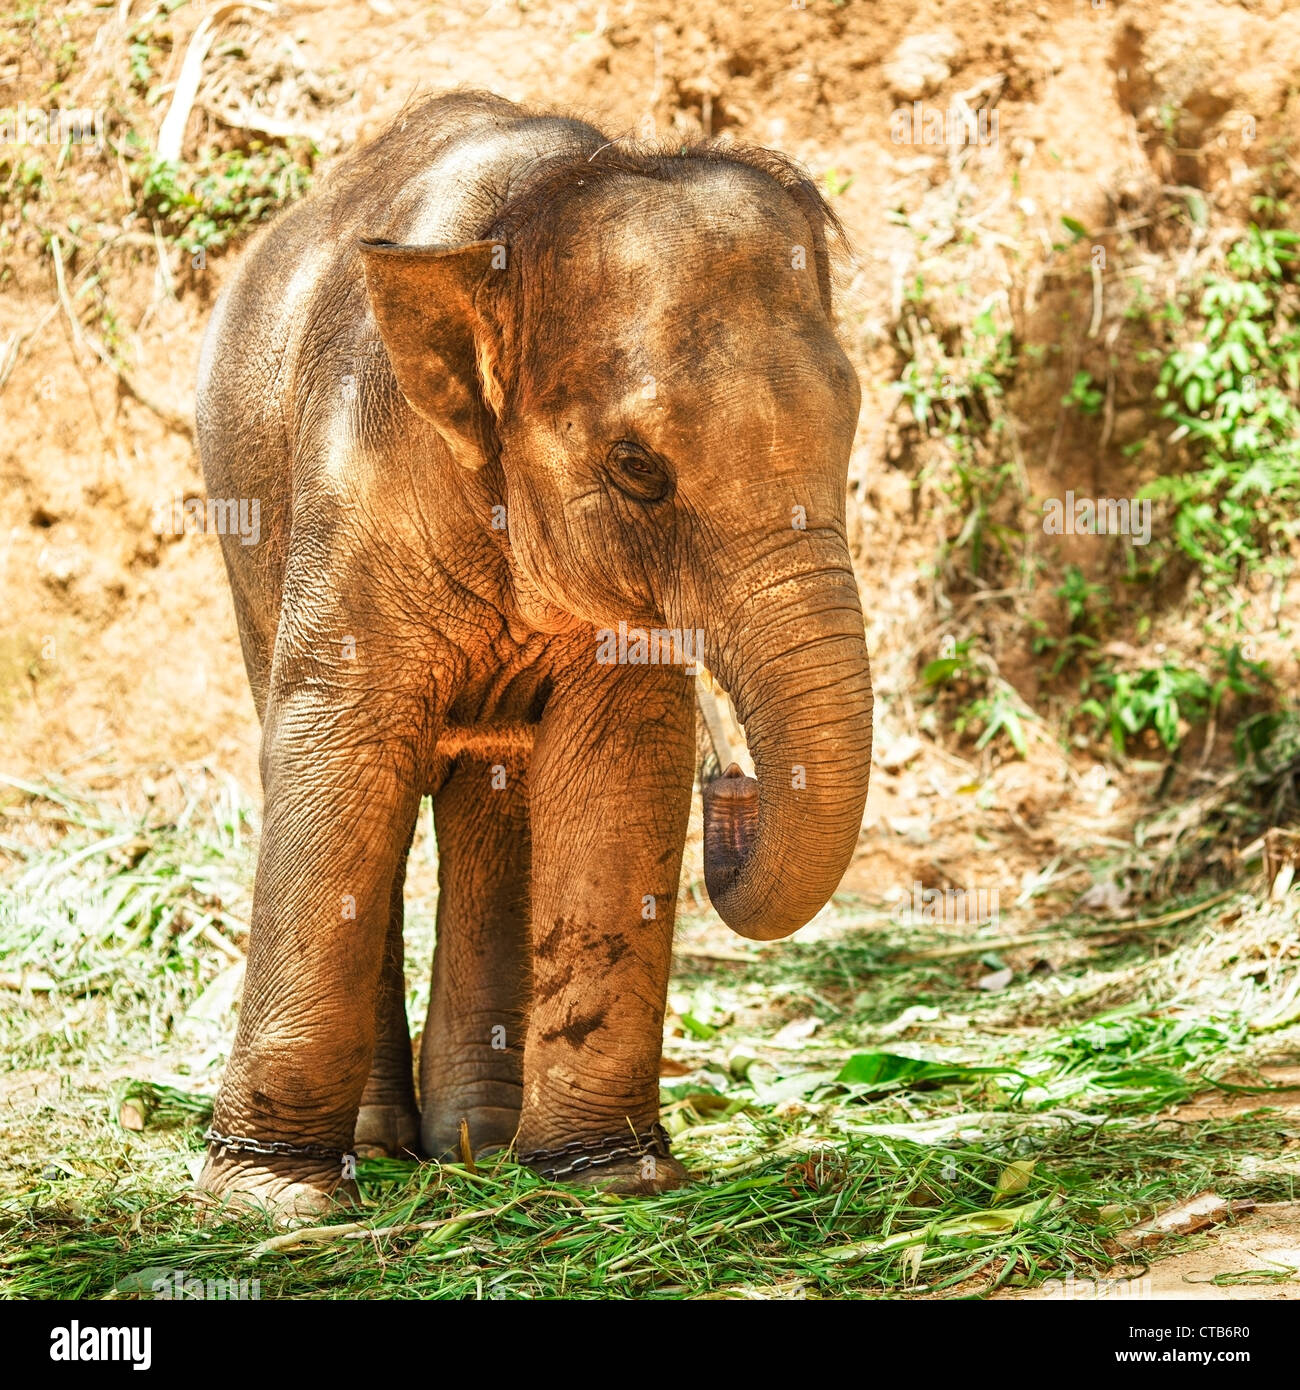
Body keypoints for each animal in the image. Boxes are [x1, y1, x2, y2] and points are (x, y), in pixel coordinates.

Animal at [194, 91, 873, 1217]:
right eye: (637, 466)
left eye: (851, 423)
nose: (731, 798)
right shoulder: (354, 484)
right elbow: (335, 746)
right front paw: (273, 1202)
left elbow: (619, 760)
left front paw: (608, 1174)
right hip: (242, 527)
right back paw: (384, 1146)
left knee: (494, 799)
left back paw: (475, 1139)